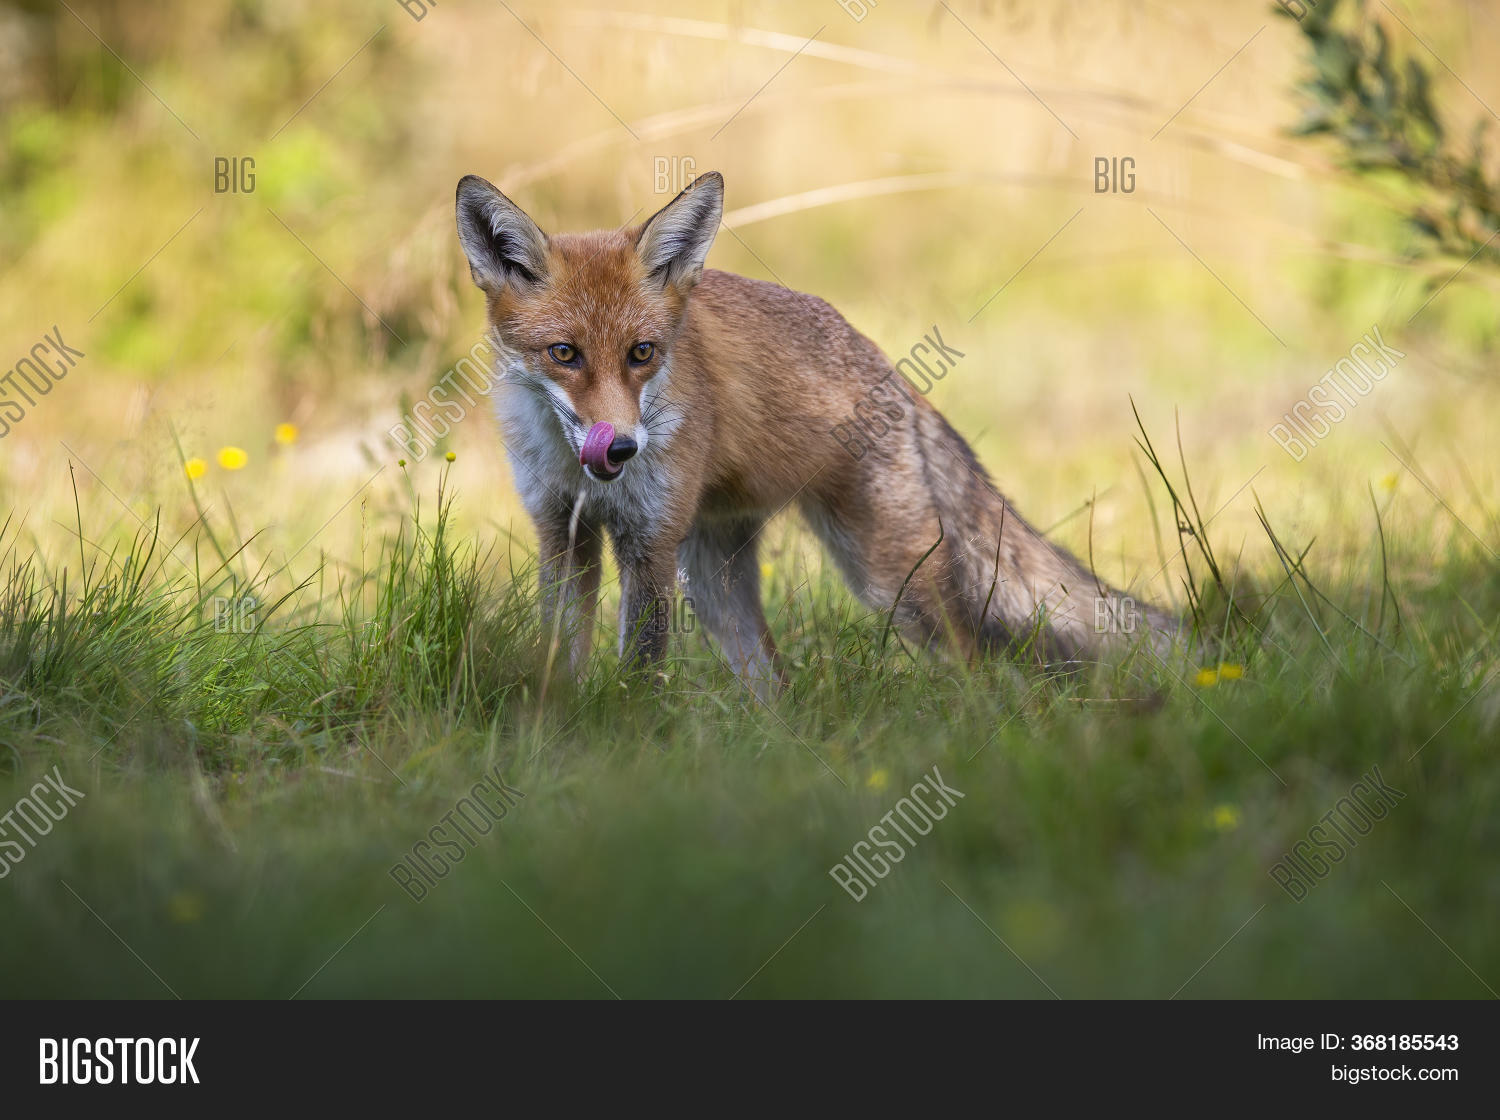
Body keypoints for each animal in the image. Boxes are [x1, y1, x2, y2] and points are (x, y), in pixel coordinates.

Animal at [455, 171, 1176, 696]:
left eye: (642, 353)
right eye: (564, 354)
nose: (623, 447)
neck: (576, 471)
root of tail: (894, 370)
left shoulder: (647, 542)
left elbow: (642, 667)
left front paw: (630, 734)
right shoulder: (562, 533)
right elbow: (562, 654)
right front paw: (564, 723)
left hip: (892, 582)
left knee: (975, 661)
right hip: (714, 584)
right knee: (775, 685)